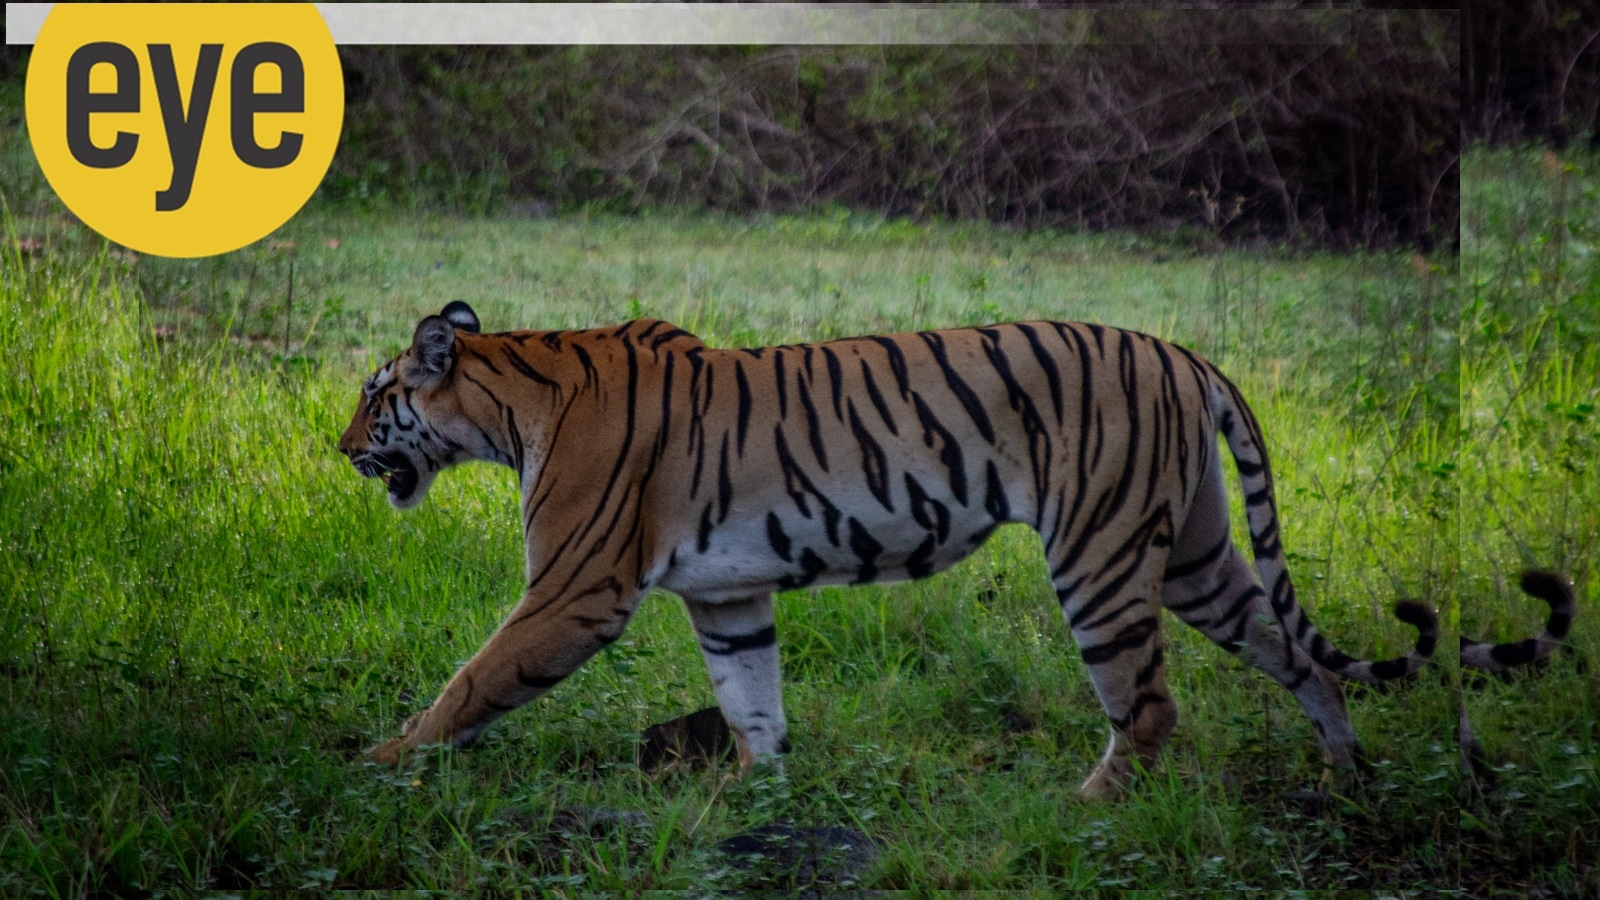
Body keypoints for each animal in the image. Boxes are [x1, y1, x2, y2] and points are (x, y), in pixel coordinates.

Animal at [339, 301, 1438, 798]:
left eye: (372, 393)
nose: (341, 447)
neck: (507, 402)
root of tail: (1181, 351)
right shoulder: (726, 597)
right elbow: (752, 700)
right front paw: (748, 793)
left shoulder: (575, 588)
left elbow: (473, 681)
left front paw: (382, 760)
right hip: (1196, 555)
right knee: (1294, 653)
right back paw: (1345, 769)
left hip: (1103, 554)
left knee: (1149, 704)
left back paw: (1089, 804)